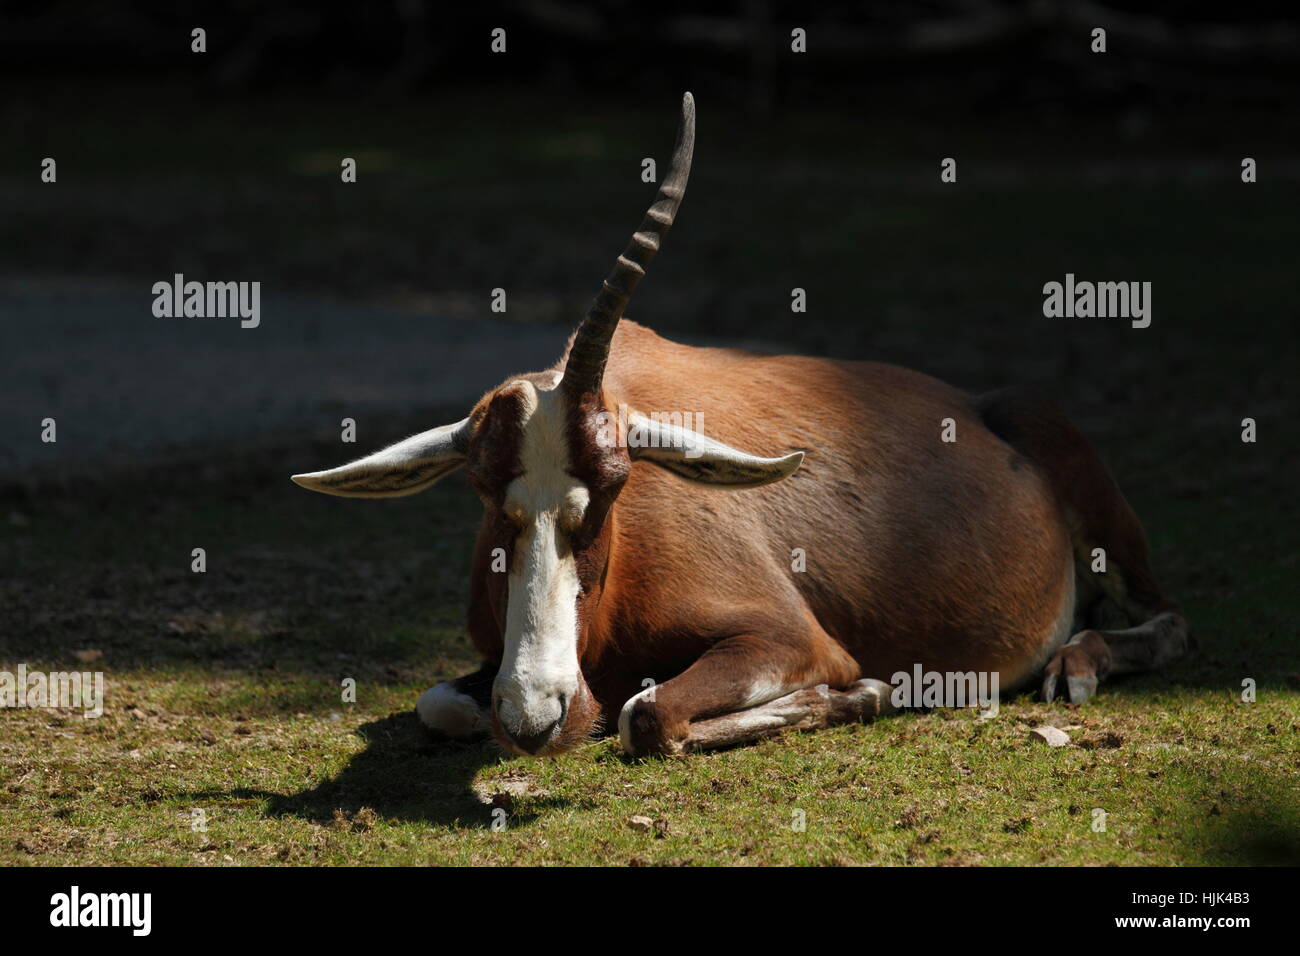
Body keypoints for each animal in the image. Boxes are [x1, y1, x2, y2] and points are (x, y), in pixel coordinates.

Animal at [291, 94, 1188, 757]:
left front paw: (867, 690)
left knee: (1169, 621)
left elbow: (646, 714)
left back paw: (1076, 665)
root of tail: (979, 409)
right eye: (484, 493)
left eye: (614, 486)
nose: (535, 717)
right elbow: (439, 703)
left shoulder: (789, 642)